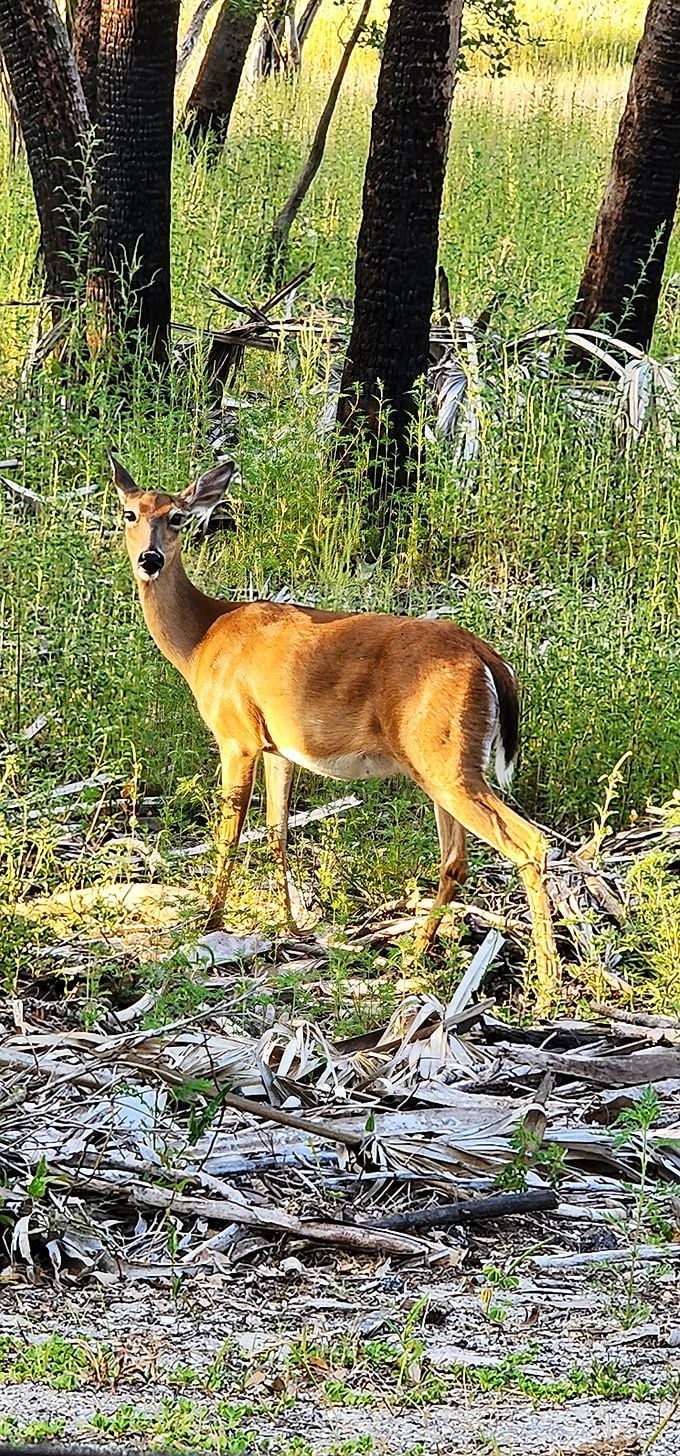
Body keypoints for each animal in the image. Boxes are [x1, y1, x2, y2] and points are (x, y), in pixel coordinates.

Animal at [111, 453, 560, 1003]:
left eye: (176, 517)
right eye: (130, 513)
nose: (150, 559)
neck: (202, 641)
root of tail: (488, 659)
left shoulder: (236, 734)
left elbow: (229, 834)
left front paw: (209, 923)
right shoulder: (278, 746)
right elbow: (277, 831)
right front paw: (290, 927)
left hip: (446, 758)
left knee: (528, 842)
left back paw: (547, 985)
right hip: (444, 761)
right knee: (456, 858)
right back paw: (414, 956)